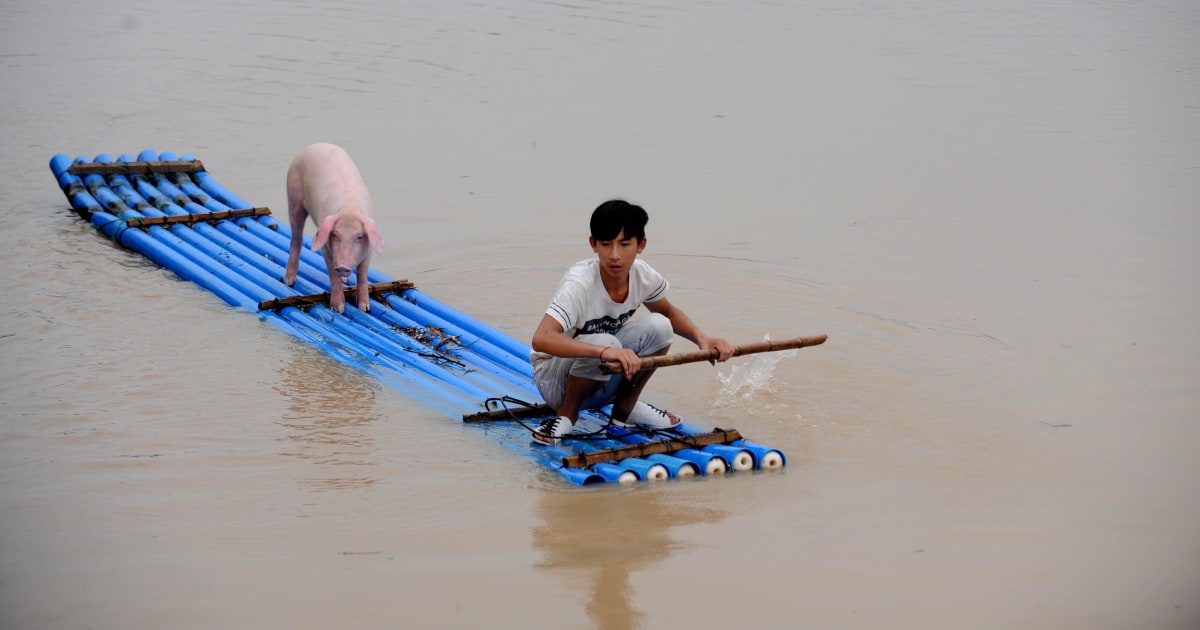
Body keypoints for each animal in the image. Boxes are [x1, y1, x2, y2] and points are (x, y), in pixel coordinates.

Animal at [283, 143, 385, 314]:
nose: (342, 266)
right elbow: (332, 274)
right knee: (296, 238)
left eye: (359, 236)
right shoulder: (325, 246)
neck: (349, 209)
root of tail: (316, 144)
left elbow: (363, 274)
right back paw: (289, 281)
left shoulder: (369, 249)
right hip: (293, 196)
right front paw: (339, 309)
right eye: (335, 234)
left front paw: (364, 307)